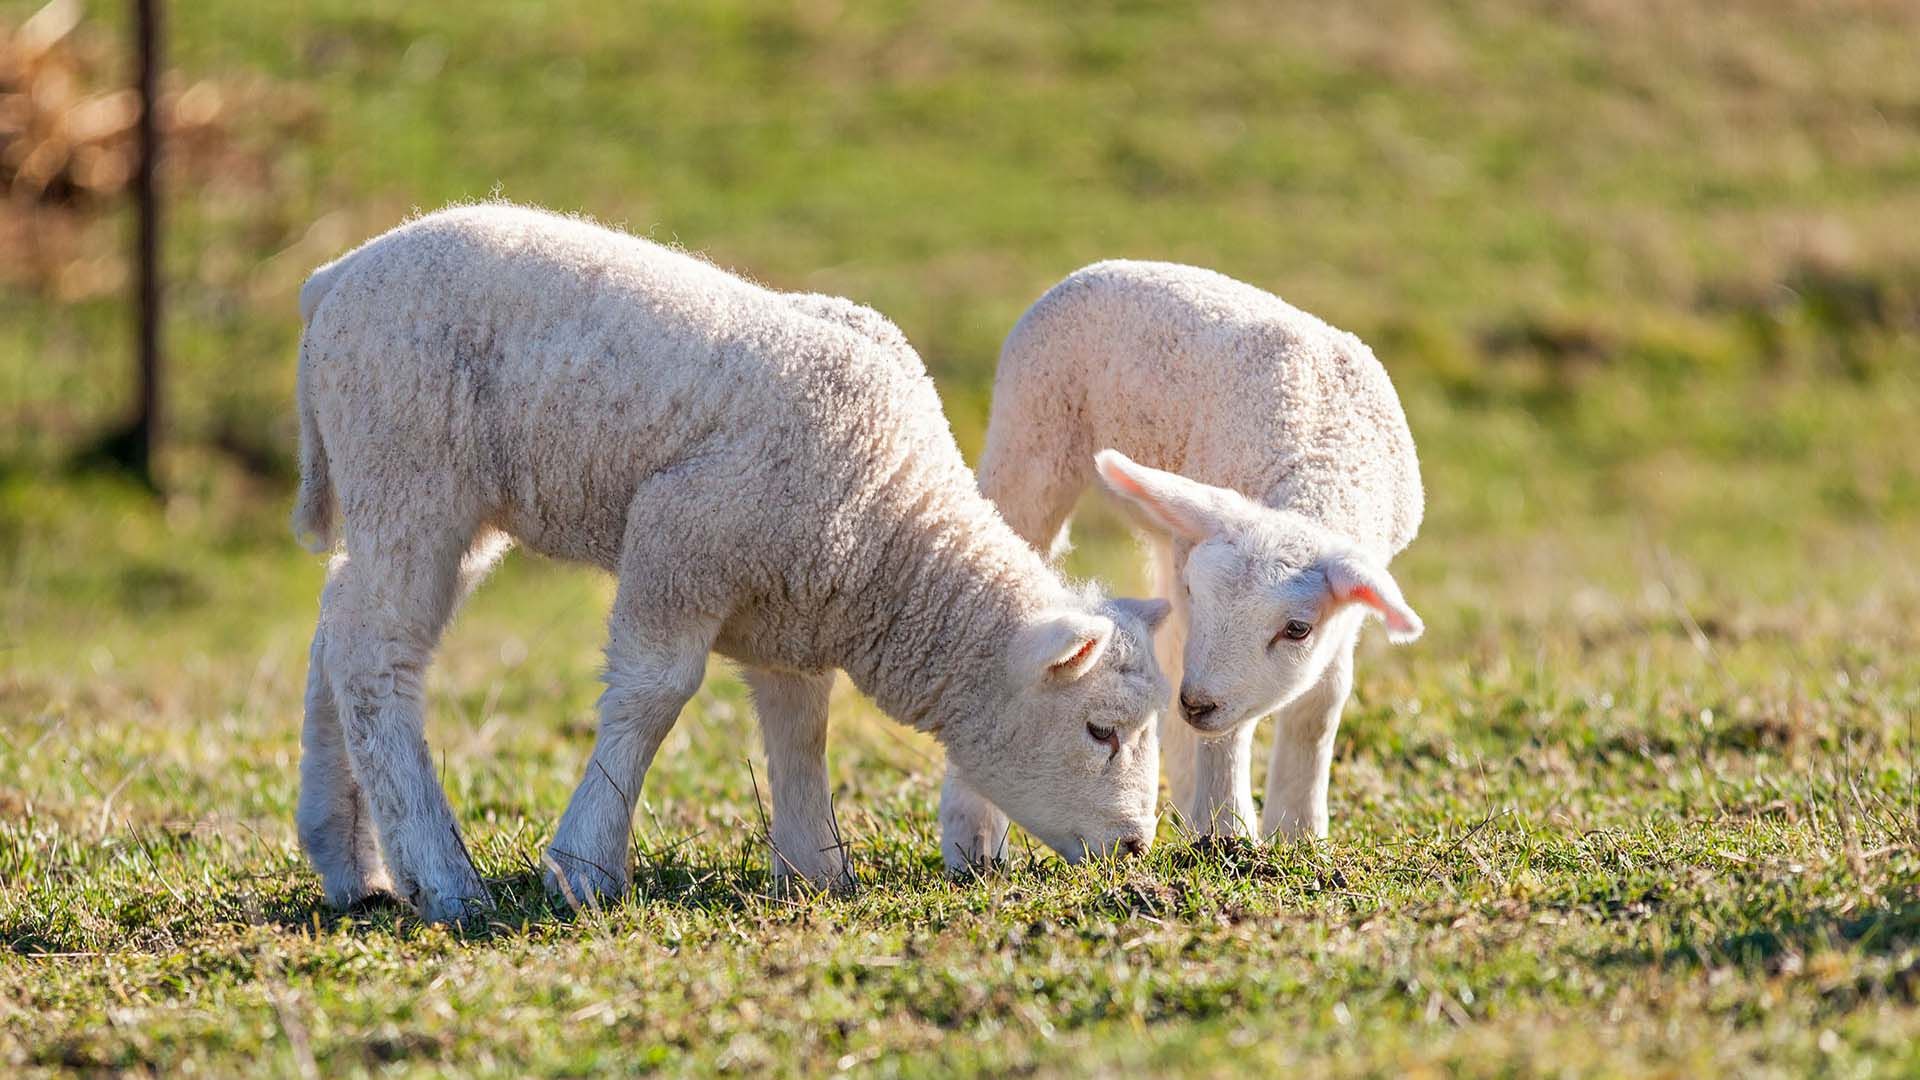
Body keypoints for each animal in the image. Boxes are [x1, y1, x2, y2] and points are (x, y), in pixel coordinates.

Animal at [291, 205, 1170, 923]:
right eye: (1099, 730)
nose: (1134, 848)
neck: (893, 524)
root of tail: (336, 276)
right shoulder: (680, 535)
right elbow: (653, 696)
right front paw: (583, 867)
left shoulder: (792, 602)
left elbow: (801, 725)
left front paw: (816, 870)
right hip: (410, 469)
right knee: (376, 660)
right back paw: (443, 880)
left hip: (436, 501)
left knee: (338, 619)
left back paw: (351, 864)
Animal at [939, 260, 1421, 867]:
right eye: (1200, 594)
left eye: (1296, 629)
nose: (1197, 703)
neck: (1318, 461)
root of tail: (1098, 267)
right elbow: (1228, 733)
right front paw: (1228, 836)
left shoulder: (1345, 606)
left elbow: (1319, 708)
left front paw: (1298, 834)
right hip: (1031, 436)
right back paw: (973, 838)